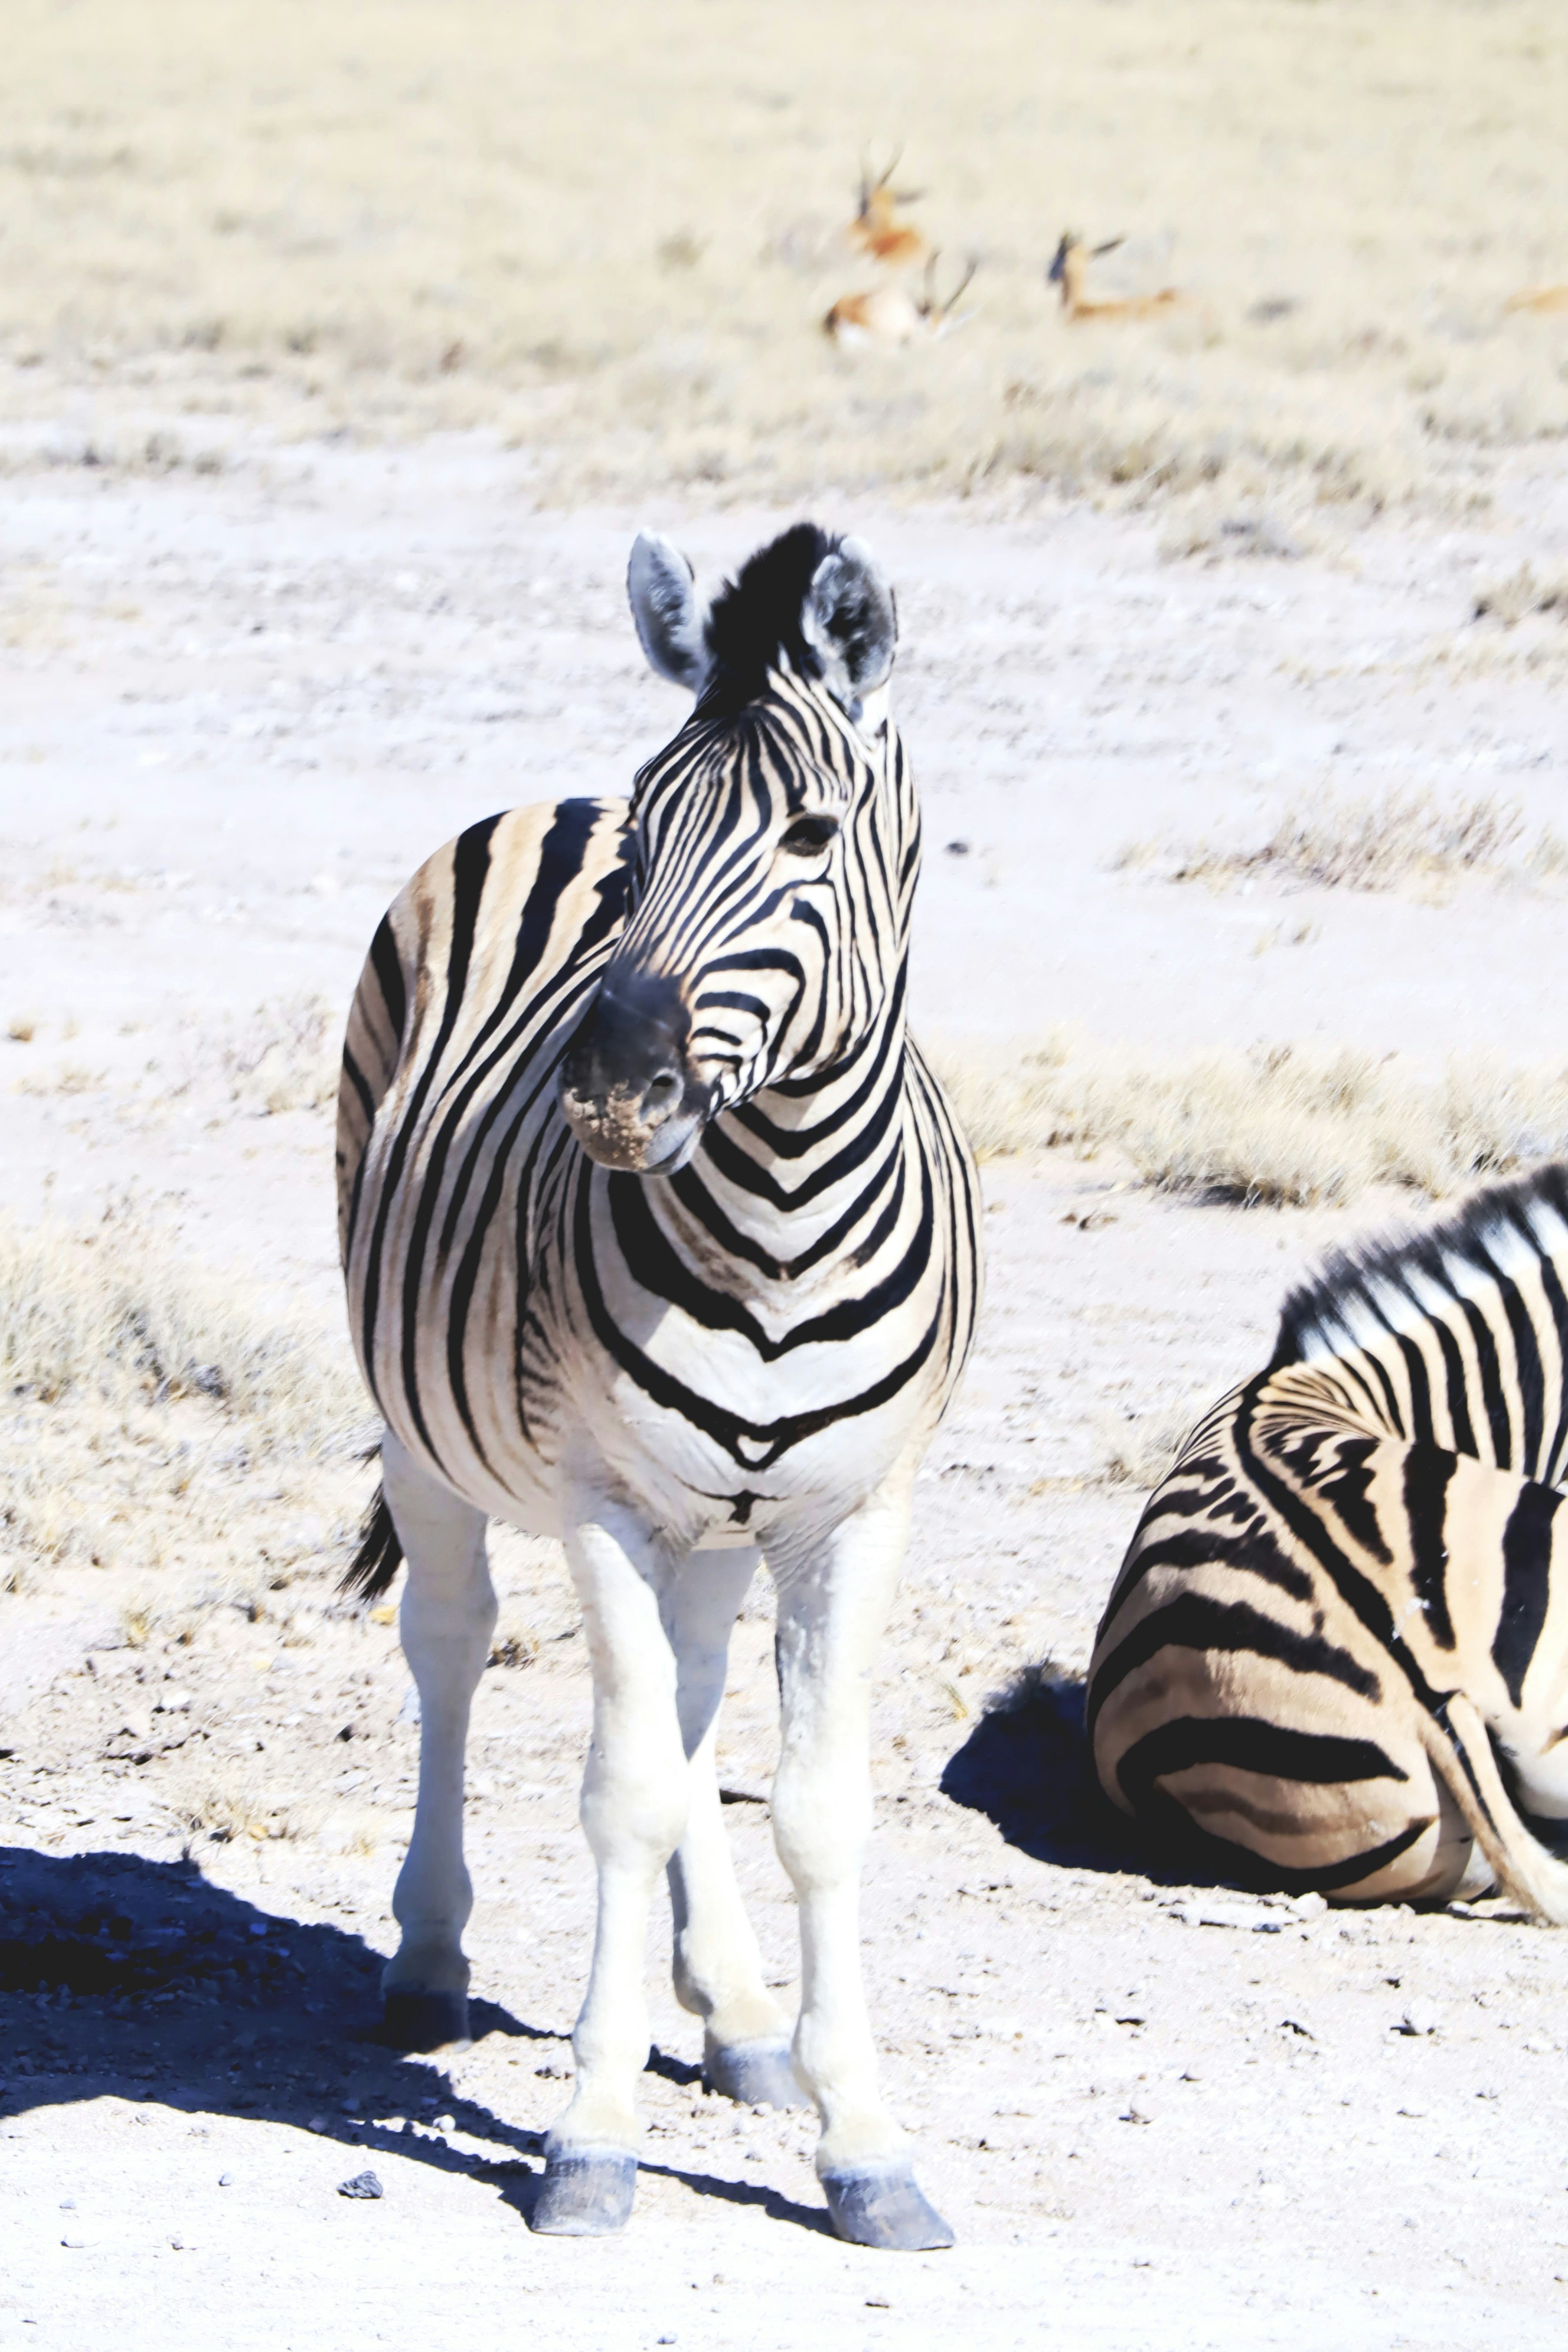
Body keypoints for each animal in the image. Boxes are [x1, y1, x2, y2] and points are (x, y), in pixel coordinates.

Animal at [336, 523, 981, 2248]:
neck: (779, 1226)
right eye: (640, 867)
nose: (614, 1092)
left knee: (689, 1711)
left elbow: (808, 1805)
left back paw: (740, 2019)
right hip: (430, 1430)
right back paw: (430, 1959)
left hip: (716, 1522)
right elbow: (624, 1791)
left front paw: (864, 2143)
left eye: (813, 833)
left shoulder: (850, 1516)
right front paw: (593, 2138)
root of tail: (547, 797)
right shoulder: (606, 1499)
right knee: (452, 1643)